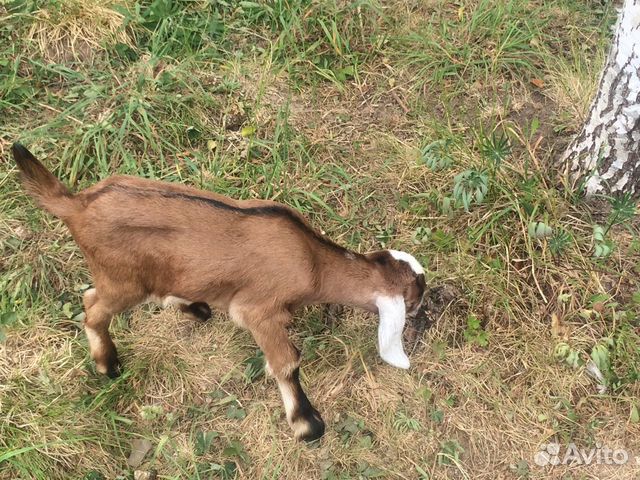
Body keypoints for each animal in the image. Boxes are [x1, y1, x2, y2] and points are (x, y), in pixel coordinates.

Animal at [11, 143, 426, 442]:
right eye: (413, 298)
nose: (424, 308)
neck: (314, 260)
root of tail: (76, 205)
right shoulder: (258, 310)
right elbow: (286, 361)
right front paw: (307, 425)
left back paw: (194, 307)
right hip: (123, 280)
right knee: (92, 305)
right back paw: (108, 364)